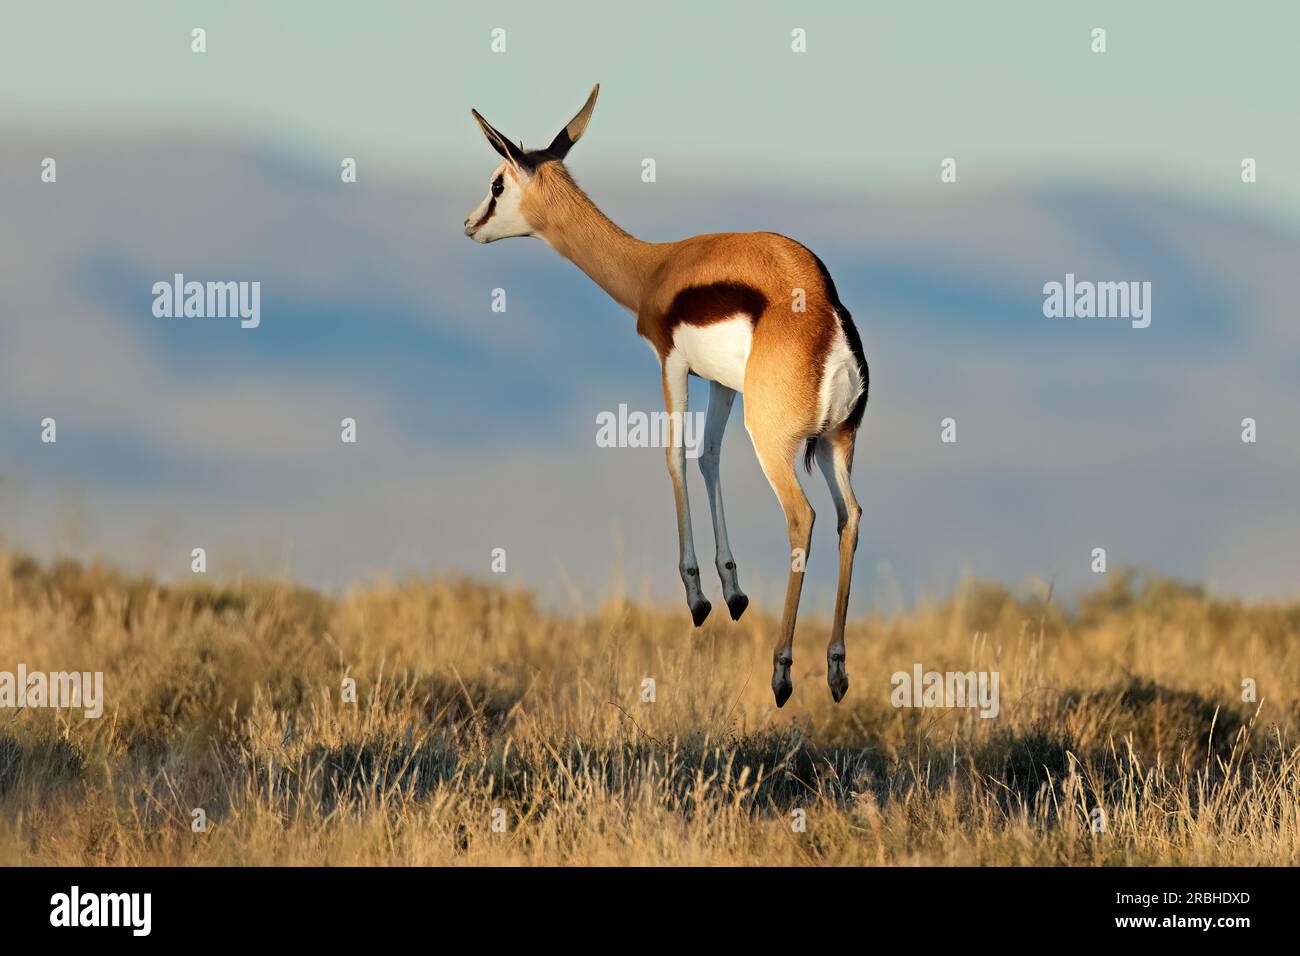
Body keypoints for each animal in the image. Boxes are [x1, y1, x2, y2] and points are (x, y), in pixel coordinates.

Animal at [463, 85, 869, 707]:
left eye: (497, 183)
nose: (468, 224)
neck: (654, 267)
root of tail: (829, 318)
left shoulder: (671, 362)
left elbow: (674, 457)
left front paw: (699, 600)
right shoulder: (722, 383)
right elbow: (707, 458)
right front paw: (733, 592)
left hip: (775, 444)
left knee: (804, 516)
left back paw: (781, 671)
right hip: (834, 445)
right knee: (851, 516)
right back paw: (837, 670)